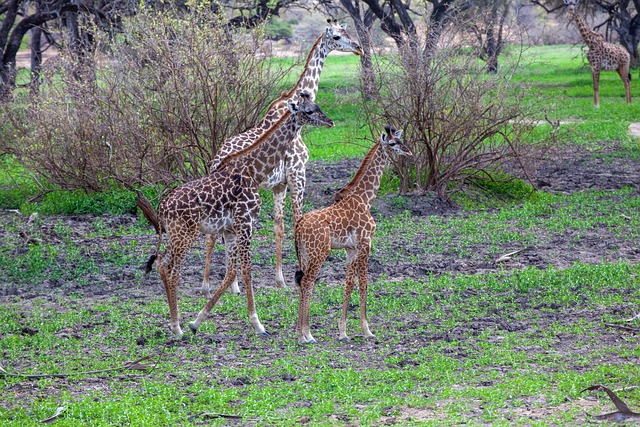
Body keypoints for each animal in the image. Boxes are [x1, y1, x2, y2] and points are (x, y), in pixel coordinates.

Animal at [140, 93, 334, 336]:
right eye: (308, 112)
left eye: (318, 106)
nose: (330, 122)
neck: (254, 170)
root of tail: (162, 209)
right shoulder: (246, 222)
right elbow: (247, 269)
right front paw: (258, 324)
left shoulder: (231, 229)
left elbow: (231, 271)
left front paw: (197, 321)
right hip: (185, 234)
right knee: (171, 269)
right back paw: (176, 328)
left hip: (176, 235)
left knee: (160, 263)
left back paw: (178, 324)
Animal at [201, 20, 363, 296]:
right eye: (337, 36)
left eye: (348, 31)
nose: (358, 47)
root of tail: (215, 160)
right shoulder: (298, 174)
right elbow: (297, 222)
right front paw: (301, 274)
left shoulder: (279, 184)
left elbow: (280, 227)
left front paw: (280, 280)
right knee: (217, 233)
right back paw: (211, 286)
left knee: (220, 232)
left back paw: (226, 285)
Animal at [293, 126, 411, 343]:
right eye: (392, 143)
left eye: (401, 140)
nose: (407, 152)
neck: (366, 198)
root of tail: (299, 226)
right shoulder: (366, 242)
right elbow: (363, 283)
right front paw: (367, 330)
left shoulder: (351, 249)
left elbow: (348, 284)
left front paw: (342, 332)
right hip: (319, 252)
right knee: (307, 282)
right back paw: (307, 334)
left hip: (304, 254)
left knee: (301, 282)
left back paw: (300, 333)